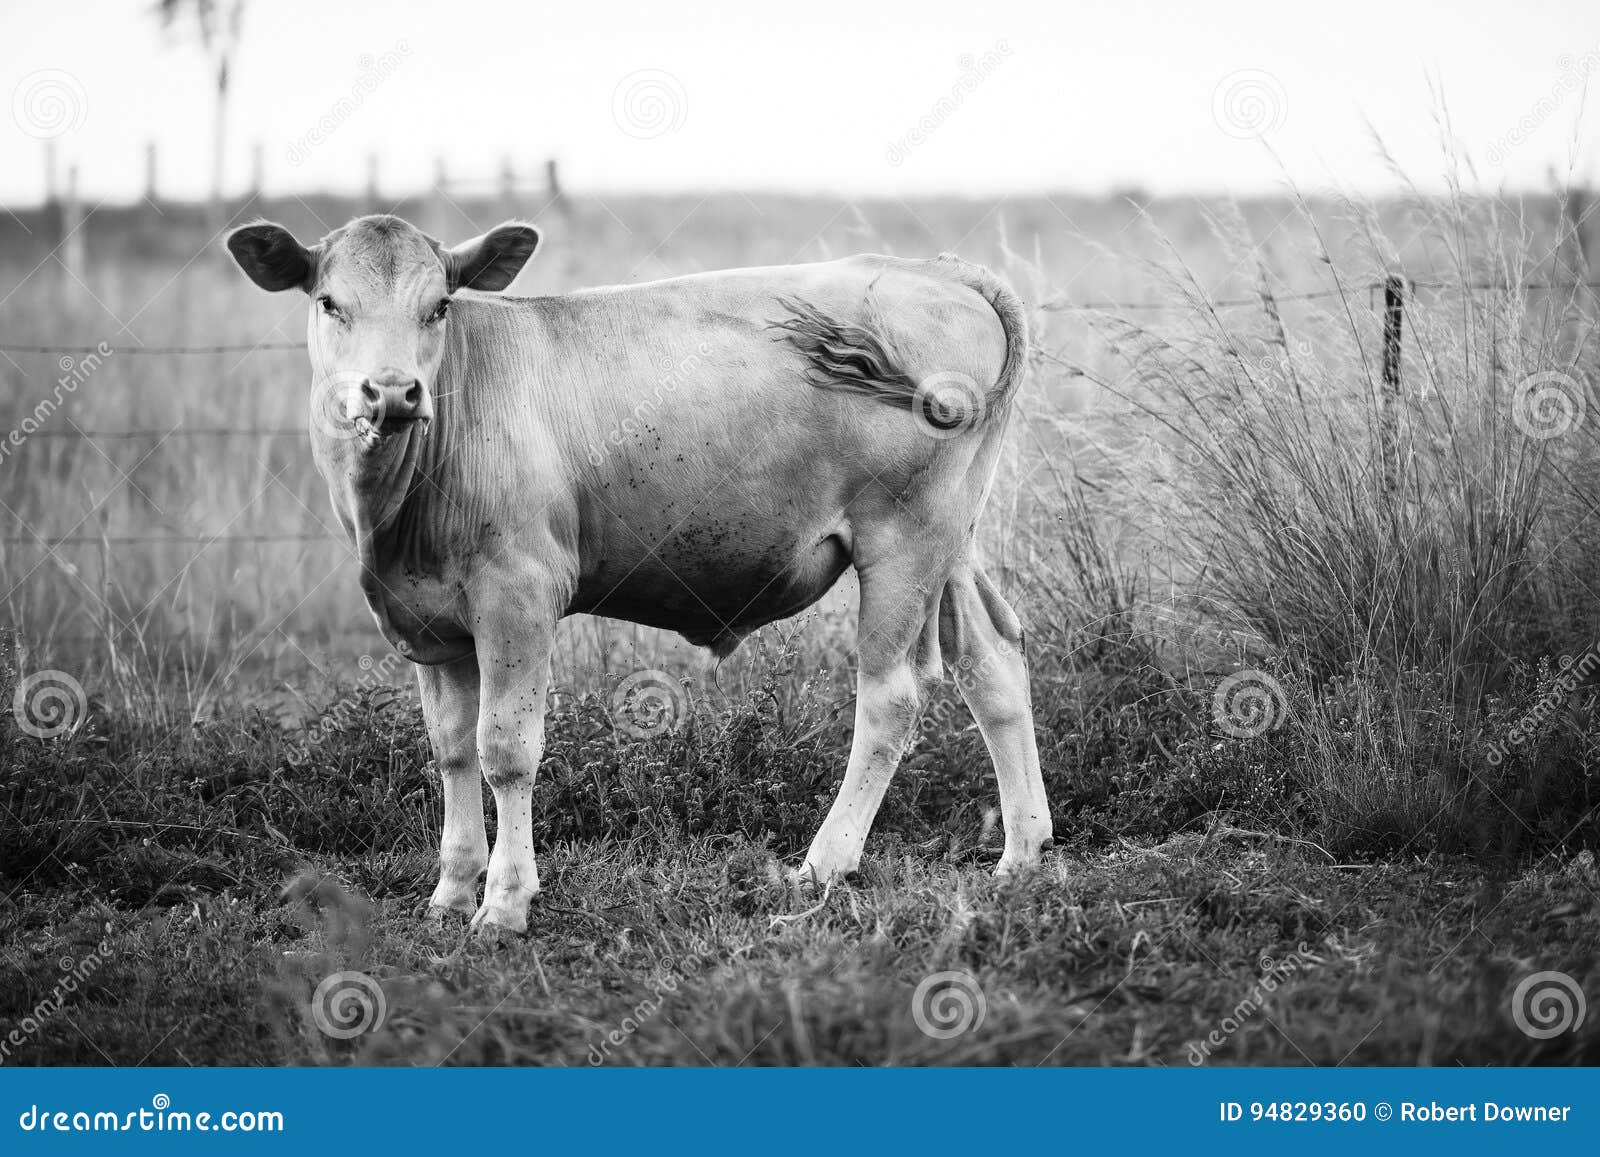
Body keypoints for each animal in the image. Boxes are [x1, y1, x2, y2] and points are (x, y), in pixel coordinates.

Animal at [226, 214, 1053, 935]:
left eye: (439, 306)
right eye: (330, 302)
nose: (394, 391)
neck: (398, 516)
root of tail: (936, 270)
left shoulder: (518, 595)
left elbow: (505, 749)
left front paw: (505, 902)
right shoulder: (432, 622)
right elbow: (453, 749)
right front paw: (451, 890)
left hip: (903, 539)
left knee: (891, 697)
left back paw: (823, 863)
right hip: (952, 541)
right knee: (992, 658)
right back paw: (1024, 852)